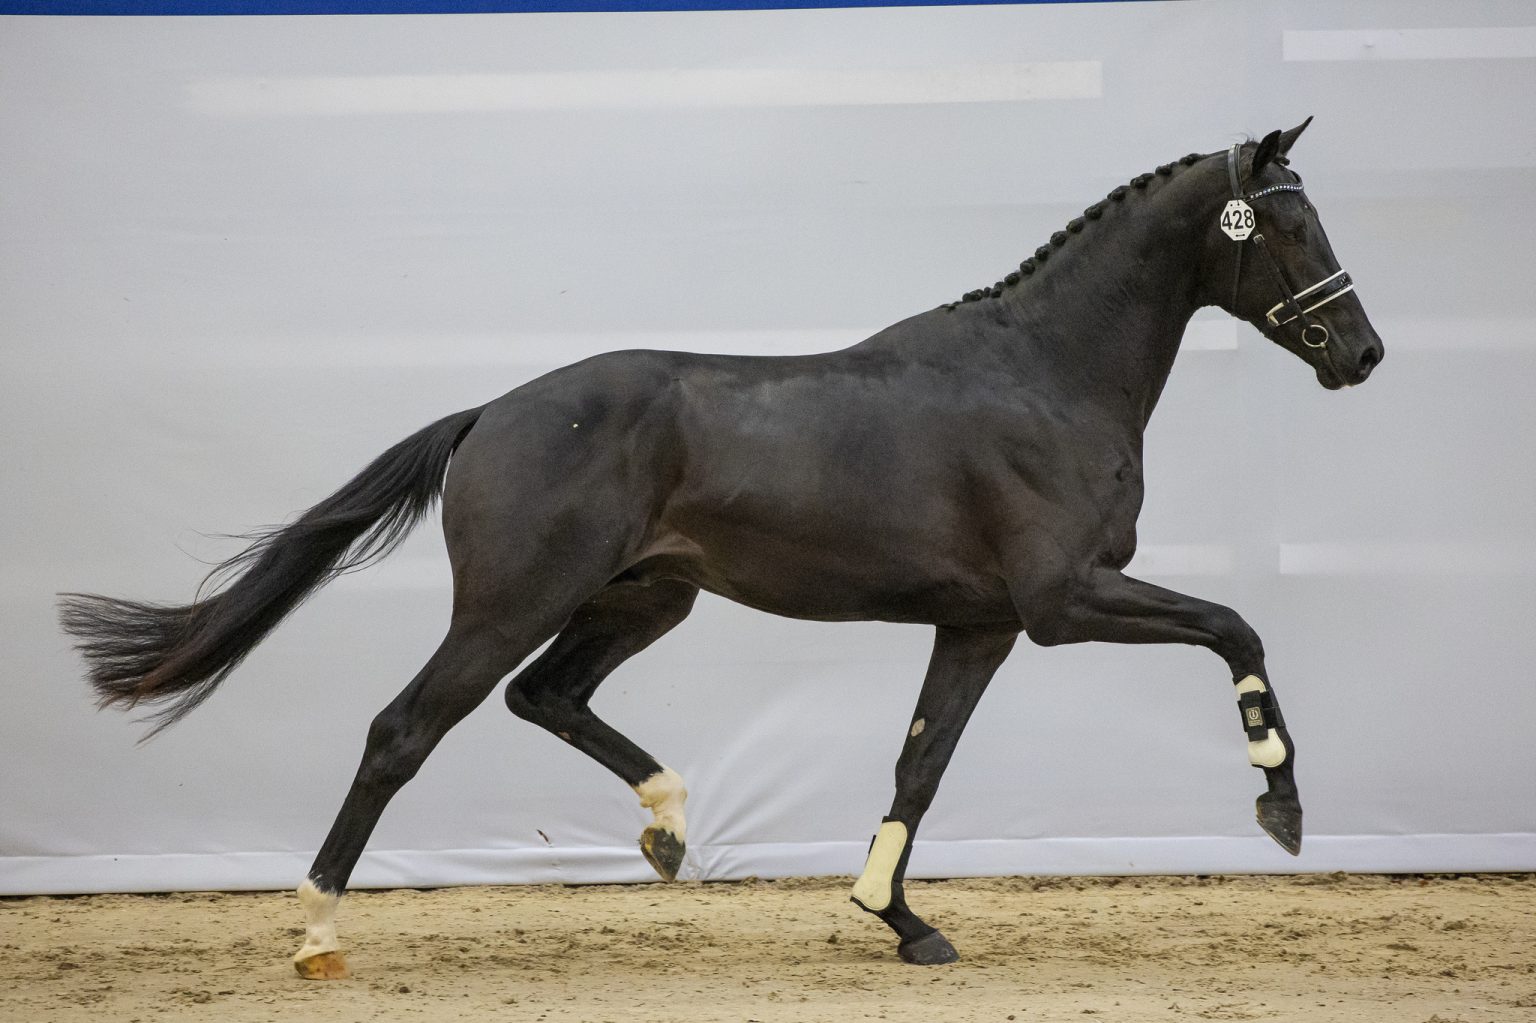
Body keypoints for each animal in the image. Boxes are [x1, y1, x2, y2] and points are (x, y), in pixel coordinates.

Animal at [60, 118, 1382, 977]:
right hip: (512, 603)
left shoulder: (983, 621)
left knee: (546, 698)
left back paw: (668, 825)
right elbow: (1234, 626)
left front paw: (901, 923)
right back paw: (319, 930)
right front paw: (1281, 808)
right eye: (1287, 223)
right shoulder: (1063, 600)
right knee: (404, 731)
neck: (1044, 377)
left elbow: (922, 764)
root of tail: (490, 414)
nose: (1361, 353)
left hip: (643, 600)